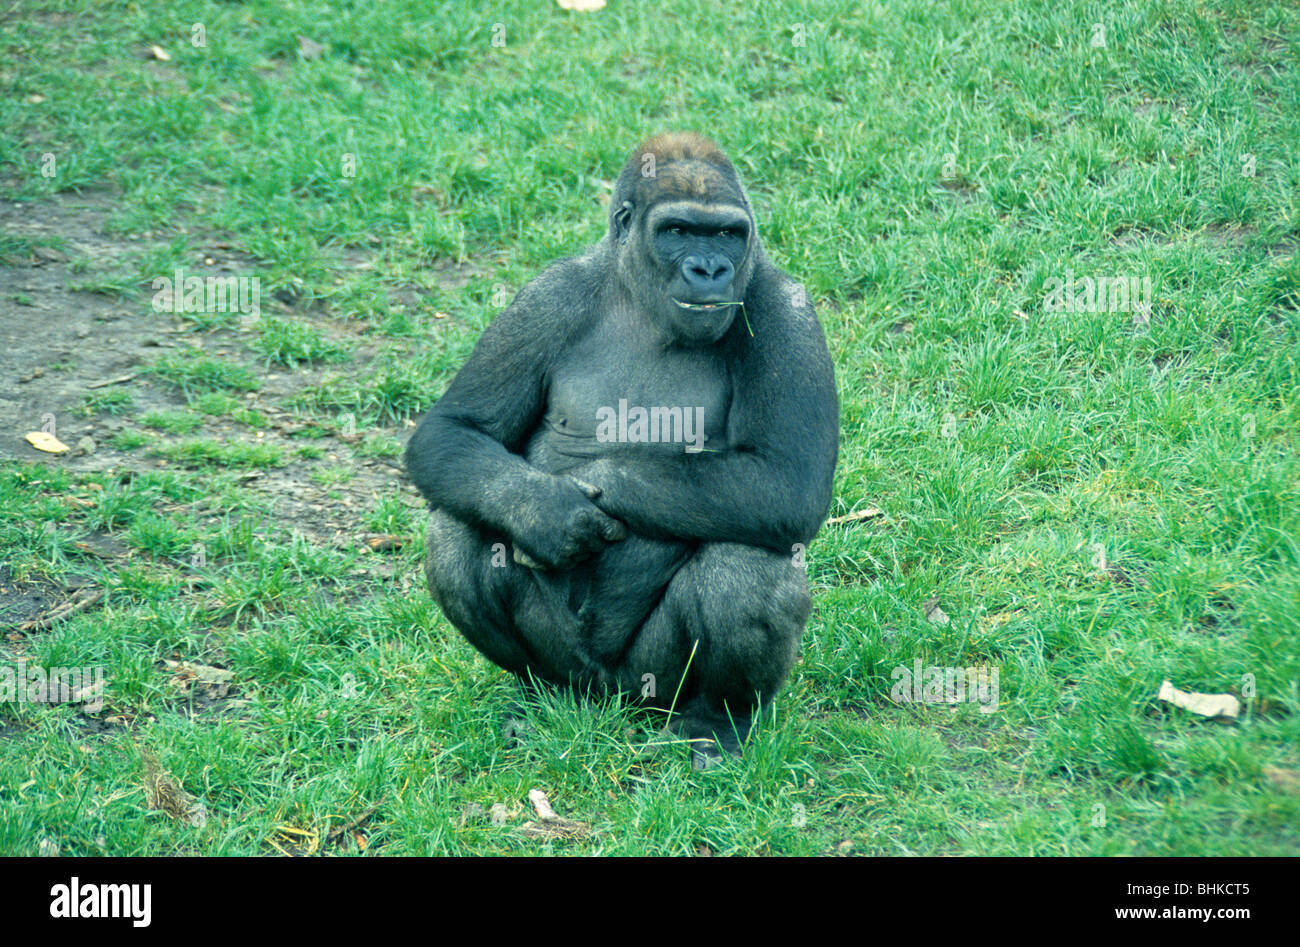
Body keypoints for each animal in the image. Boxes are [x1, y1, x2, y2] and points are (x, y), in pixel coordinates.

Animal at [404, 132, 838, 767]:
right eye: (678, 230)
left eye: (727, 234)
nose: (711, 268)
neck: (641, 300)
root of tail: (612, 703)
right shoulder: (546, 297)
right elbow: (452, 430)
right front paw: (544, 509)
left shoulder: (789, 310)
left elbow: (785, 483)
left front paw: (584, 492)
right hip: (575, 670)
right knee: (458, 527)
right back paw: (538, 693)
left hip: (652, 686)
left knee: (748, 561)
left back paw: (717, 723)